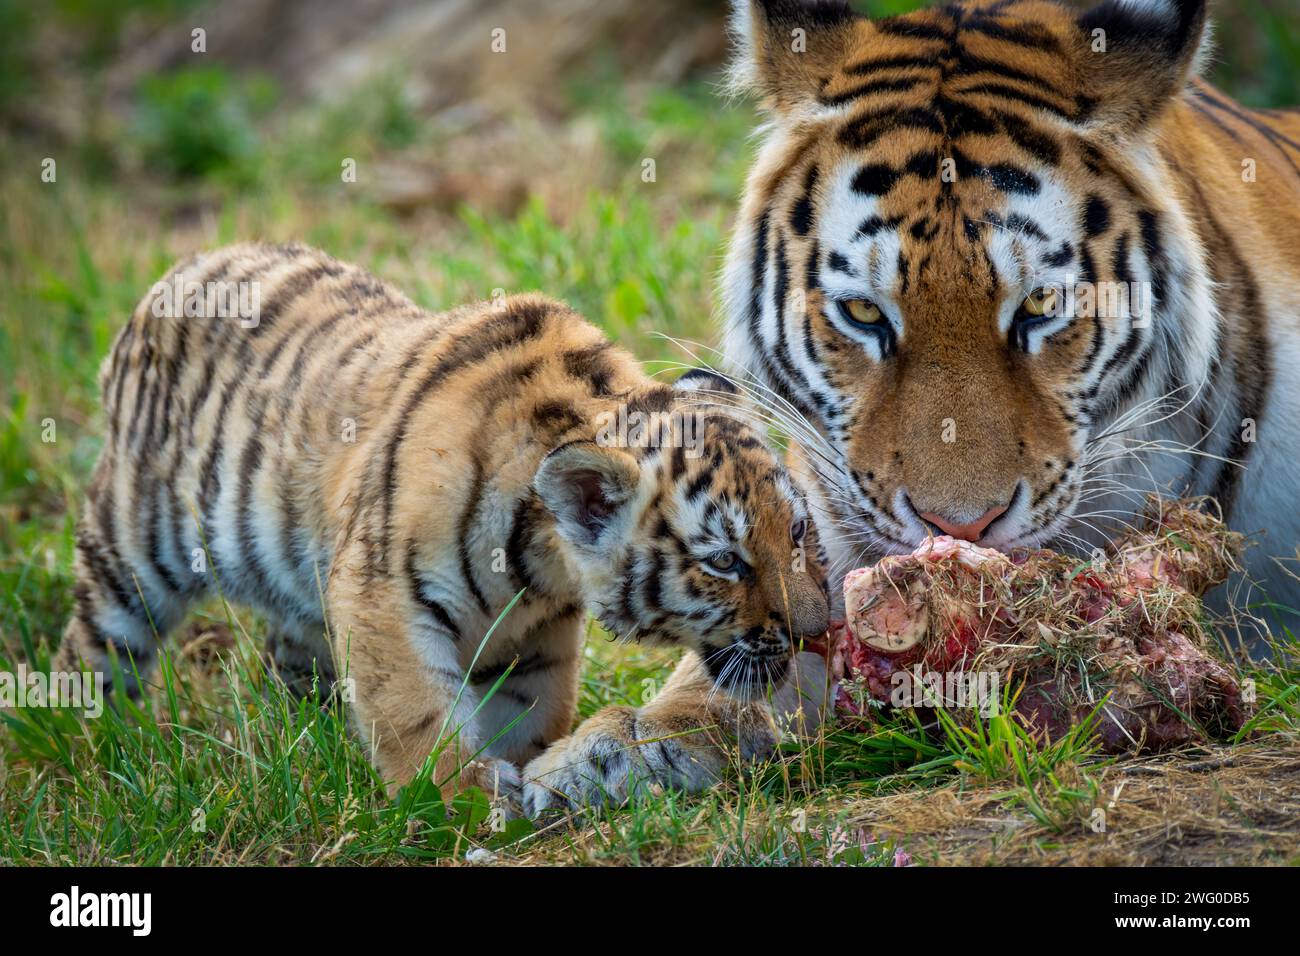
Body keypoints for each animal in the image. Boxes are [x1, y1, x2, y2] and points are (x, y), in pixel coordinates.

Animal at [55, 241, 831, 814]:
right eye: (725, 561)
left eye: (797, 532)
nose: (816, 631)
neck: (541, 566)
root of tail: (182, 267)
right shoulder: (382, 596)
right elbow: (417, 718)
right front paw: (456, 807)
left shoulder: (531, 639)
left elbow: (526, 712)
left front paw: (535, 784)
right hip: (134, 544)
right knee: (95, 648)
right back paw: (86, 744)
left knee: (288, 655)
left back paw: (308, 734)